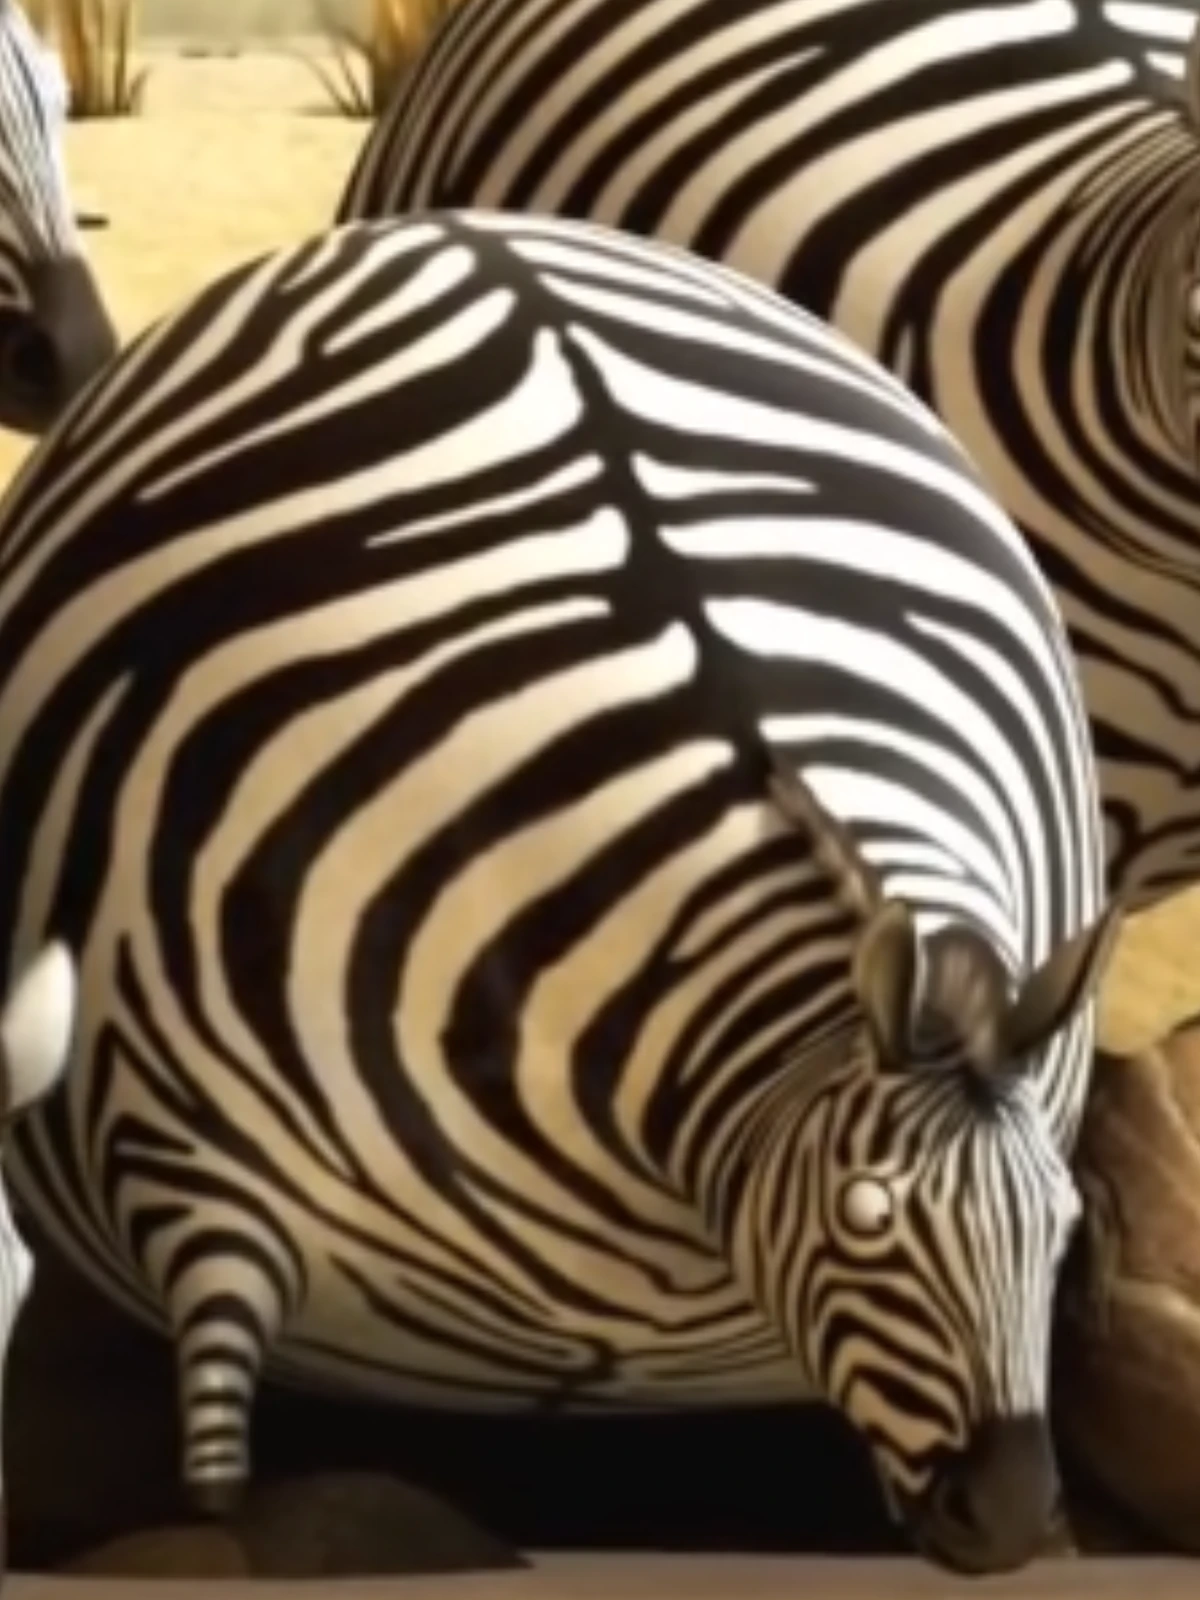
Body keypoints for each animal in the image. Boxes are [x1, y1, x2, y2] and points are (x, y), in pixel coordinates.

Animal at [0, 210, 1119, 1574]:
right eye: (864, 1213)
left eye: (1063, 1220)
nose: (1010, 1516)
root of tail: (447, 230)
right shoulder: (196, 1182)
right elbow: (220, 1495)